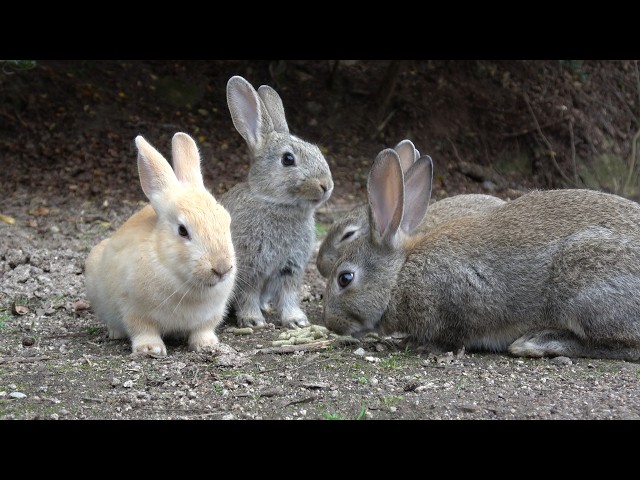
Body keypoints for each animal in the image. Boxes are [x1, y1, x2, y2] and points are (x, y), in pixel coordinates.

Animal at [84, 132, 236, 356]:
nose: (222, 268)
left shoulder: (211, 315)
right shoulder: (134, 310)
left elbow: (203, 329)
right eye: (182, 230)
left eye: (227, 221)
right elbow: (142, 329)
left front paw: (207, 344)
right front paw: (150, 349)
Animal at [221, 75, 333, 329]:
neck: (275, 203)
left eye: (315, 149)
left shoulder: (290, 268)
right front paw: (252, 320)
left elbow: (289, 294)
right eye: (288, 159)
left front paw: (297, 320)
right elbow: (248, 294)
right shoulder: (249, 266)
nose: (326, 185)